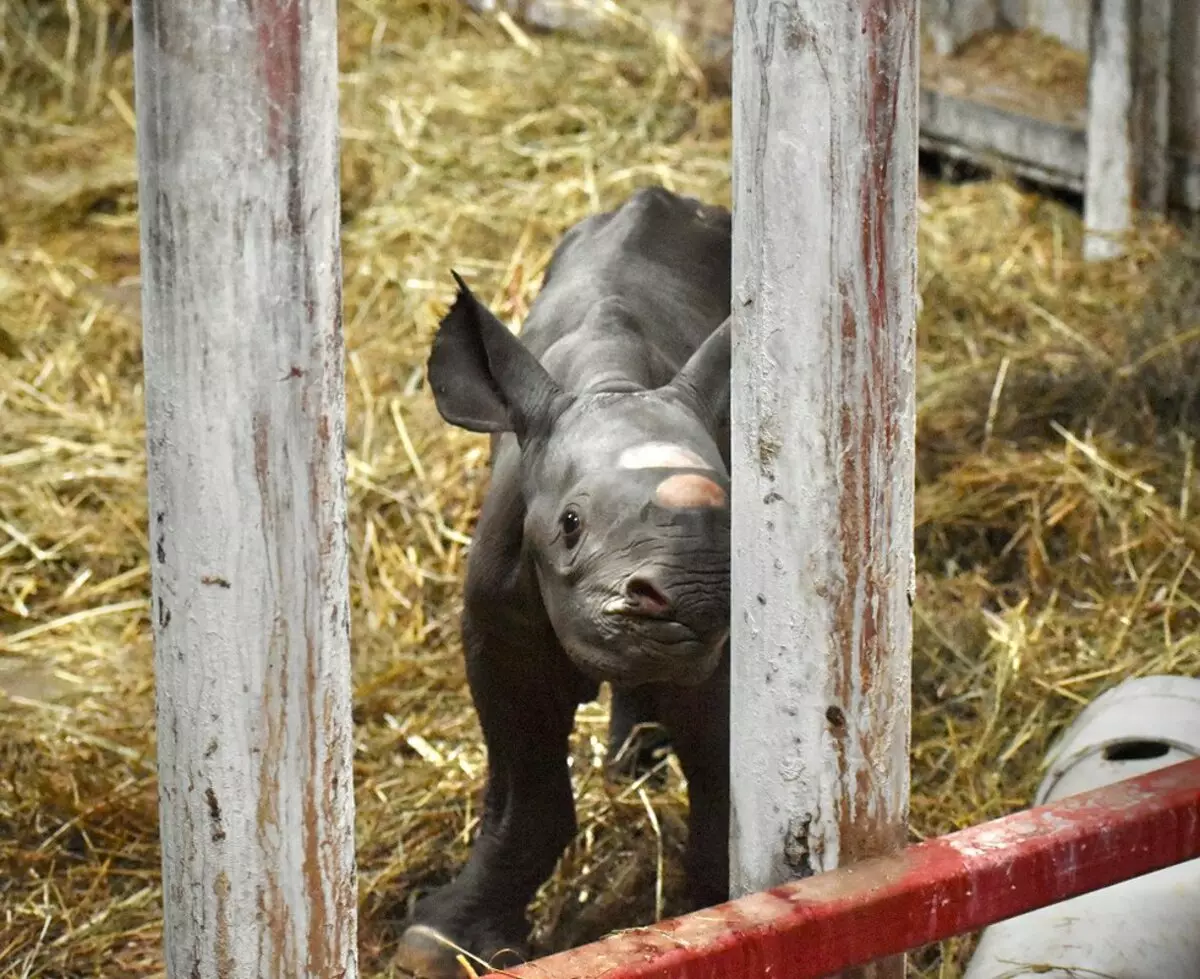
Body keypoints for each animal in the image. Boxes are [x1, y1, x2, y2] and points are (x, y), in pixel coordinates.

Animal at [398, 187, 729, 974]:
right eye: (570, 523)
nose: (697, 595)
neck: (615, 383)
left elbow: (718, 767)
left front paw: (715, 908)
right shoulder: (500, 630)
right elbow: (531, 792)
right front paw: (438, 944)